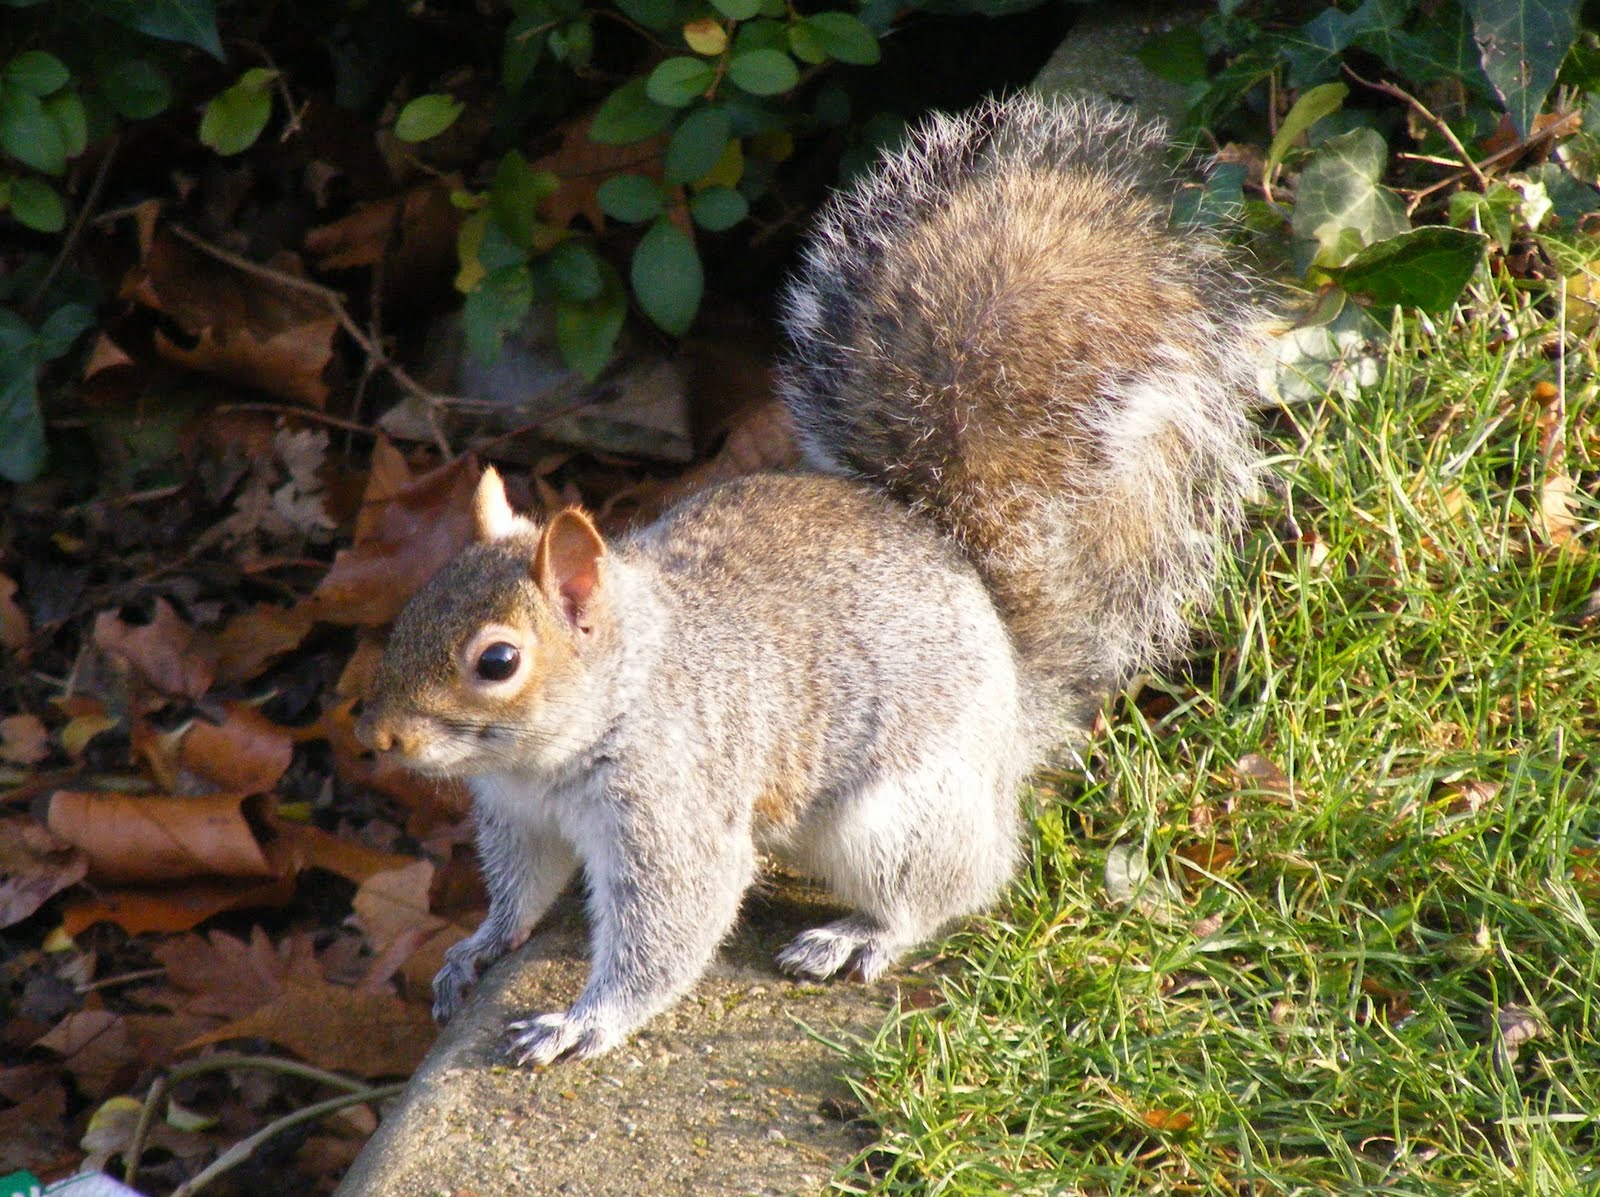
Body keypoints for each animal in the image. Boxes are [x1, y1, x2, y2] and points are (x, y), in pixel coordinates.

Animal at [356, 94, 1263, 1065]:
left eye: (497, 662)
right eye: (407, 613)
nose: (377, 736)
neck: (565, 738)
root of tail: (1015, 699)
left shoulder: (674, 801)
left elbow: (670, 925)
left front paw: (582, 1021)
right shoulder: (519, 816)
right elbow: (521, 888)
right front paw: (480, 946)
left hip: (893, 818)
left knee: (959, 882)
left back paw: (863, 933)